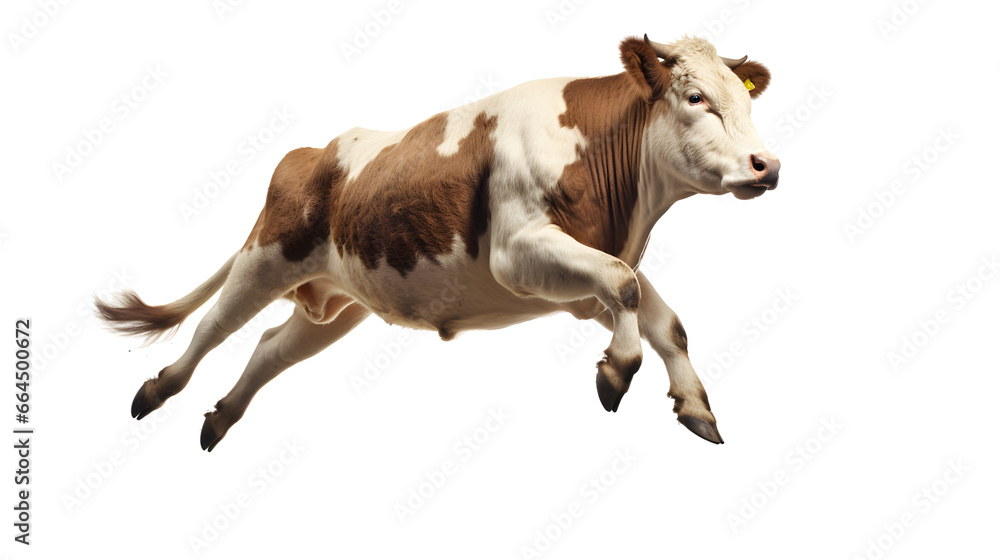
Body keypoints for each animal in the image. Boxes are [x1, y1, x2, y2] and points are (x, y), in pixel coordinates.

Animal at [96, 35, 779, 451]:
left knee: (270, 349)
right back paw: (156, 390)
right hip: (268, 255)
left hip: (339, 304)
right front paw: (614, 371)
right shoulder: (518, 251)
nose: (766, 164)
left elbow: (663, 318)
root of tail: (313, 150)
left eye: (744, 103)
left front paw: (694, 406)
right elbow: (625, 283)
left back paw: (220, 419)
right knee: (214, 325)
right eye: (696, 97)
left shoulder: (578, 281)